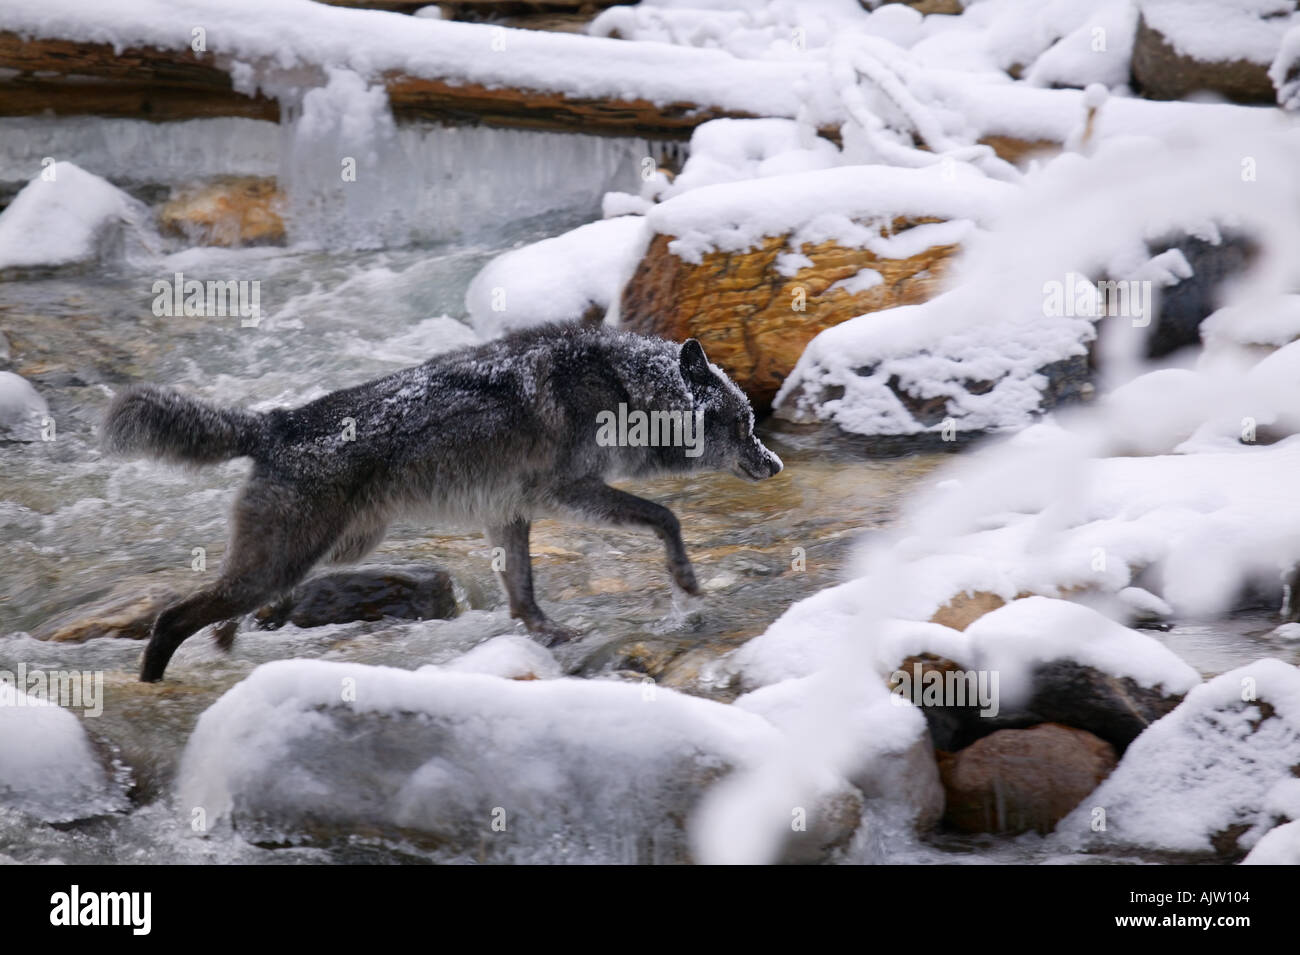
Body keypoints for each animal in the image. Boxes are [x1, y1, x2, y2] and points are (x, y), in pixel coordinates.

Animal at [102, 323, 783, 682]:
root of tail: (275, 421)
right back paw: (153, 683)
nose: (776, 464)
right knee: (173, 617)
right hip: (291, 560)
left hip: (325, 554)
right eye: (744, 423)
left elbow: (523, 597)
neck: (623, 387)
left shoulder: (510, 513)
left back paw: (224, 652)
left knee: (223, 610)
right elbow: (667, 518)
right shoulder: (570, 493)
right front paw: (686, 584)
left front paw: (551, 637)